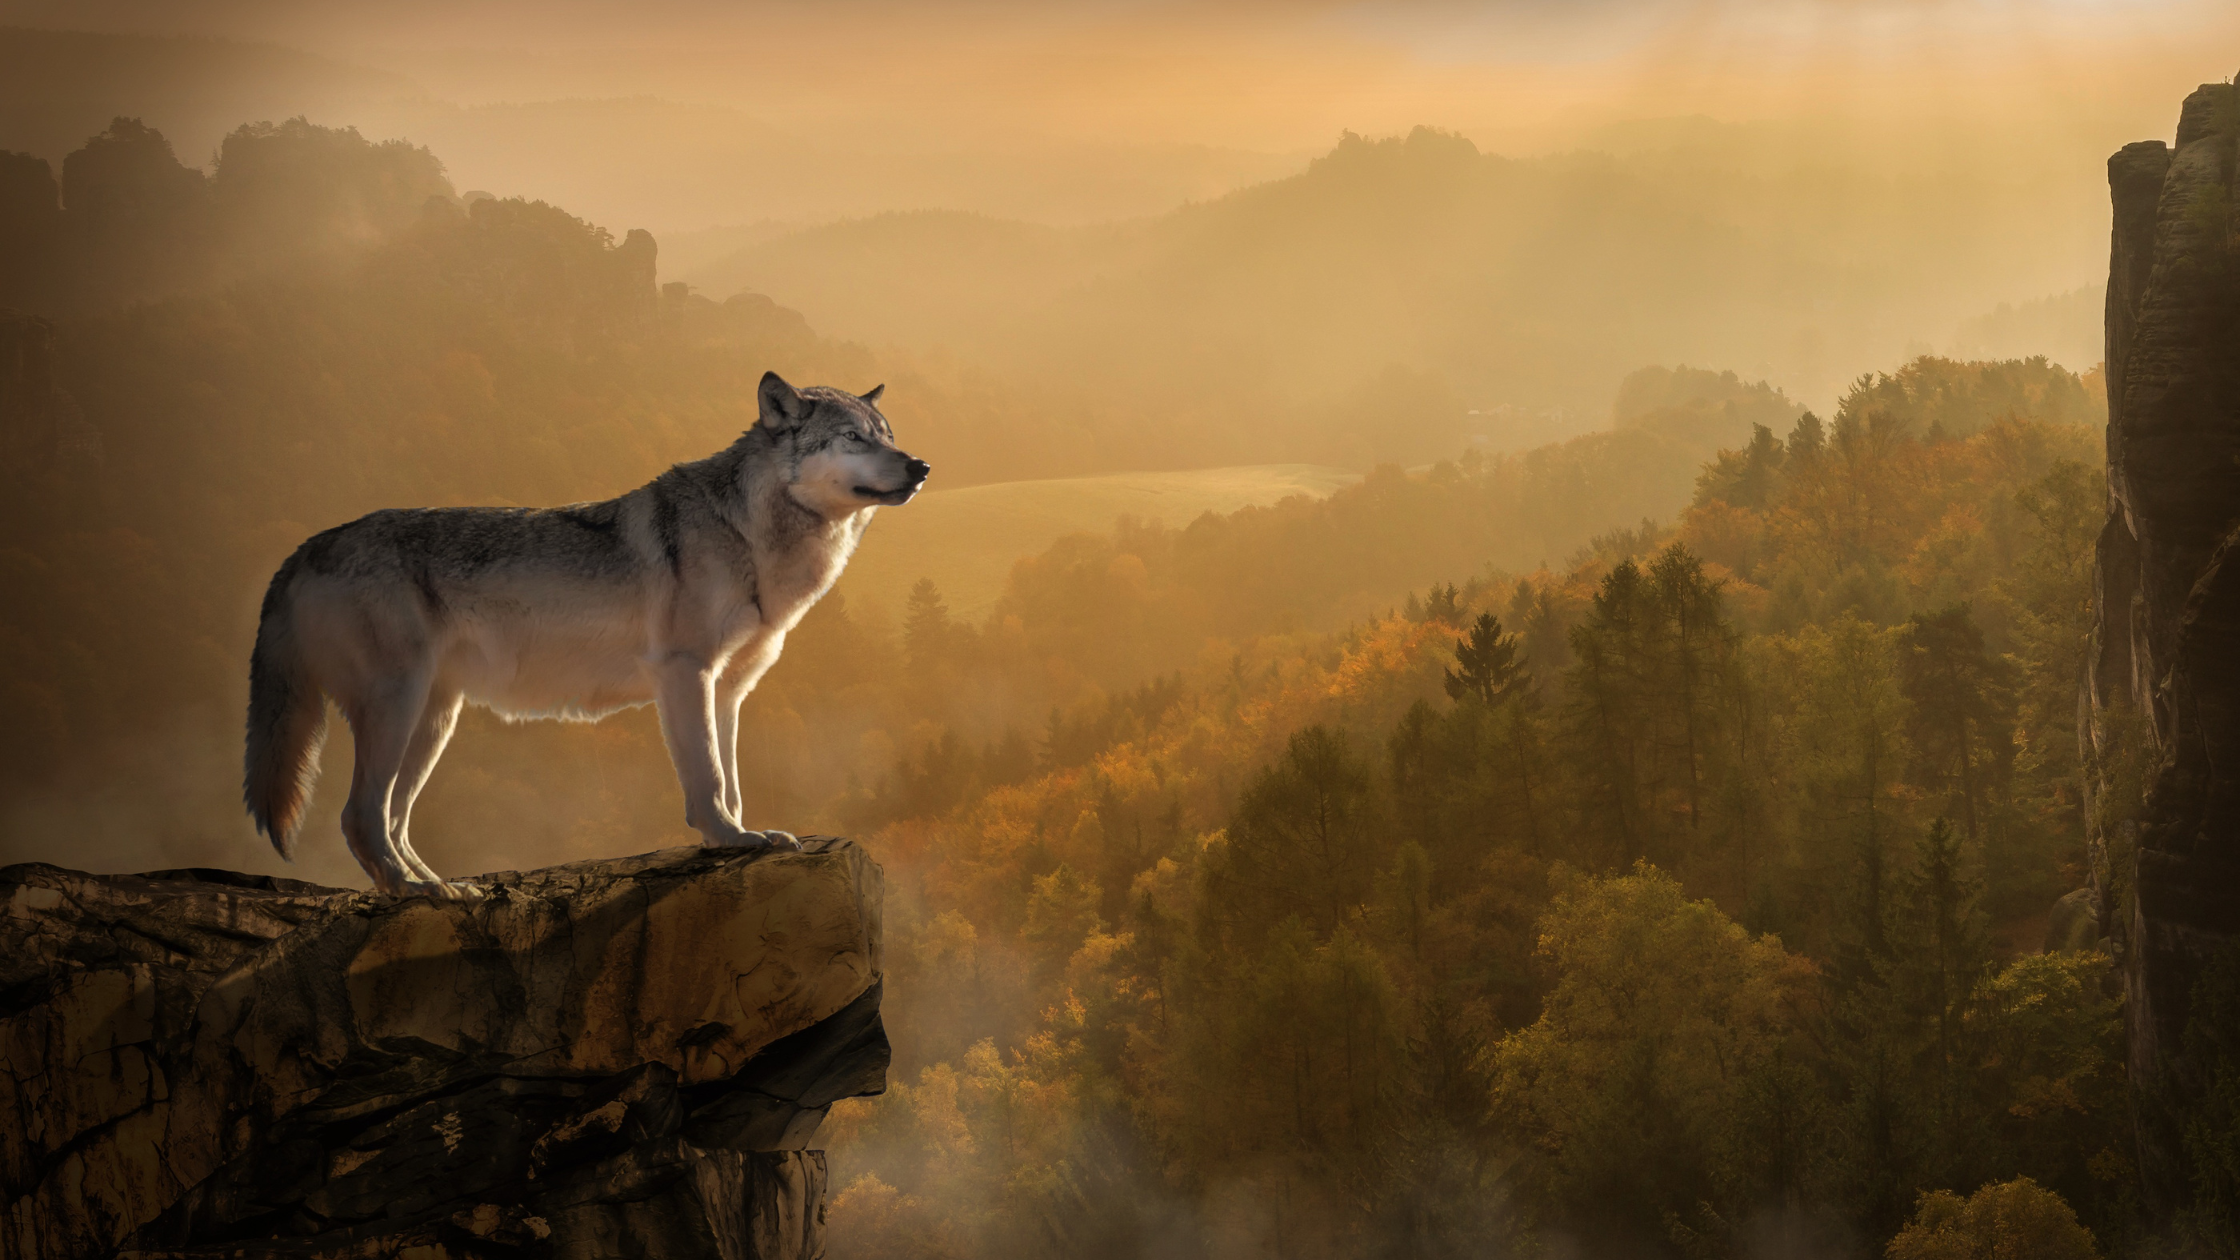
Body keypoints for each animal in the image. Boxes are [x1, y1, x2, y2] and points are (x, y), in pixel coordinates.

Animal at [243, 372, 927, 899]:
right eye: (853, 438)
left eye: (889, 435)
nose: (921, 465)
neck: (749, 533)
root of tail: (305, 548)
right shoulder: (685, 673)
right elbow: (707, 778)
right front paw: (729, 839)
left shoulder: (729, 690)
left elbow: (731, 780)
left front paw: (743, 835)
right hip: (399, 708)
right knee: (361, 816)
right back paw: (412, 891)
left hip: (434, 720)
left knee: (395, 819)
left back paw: (441, 888)